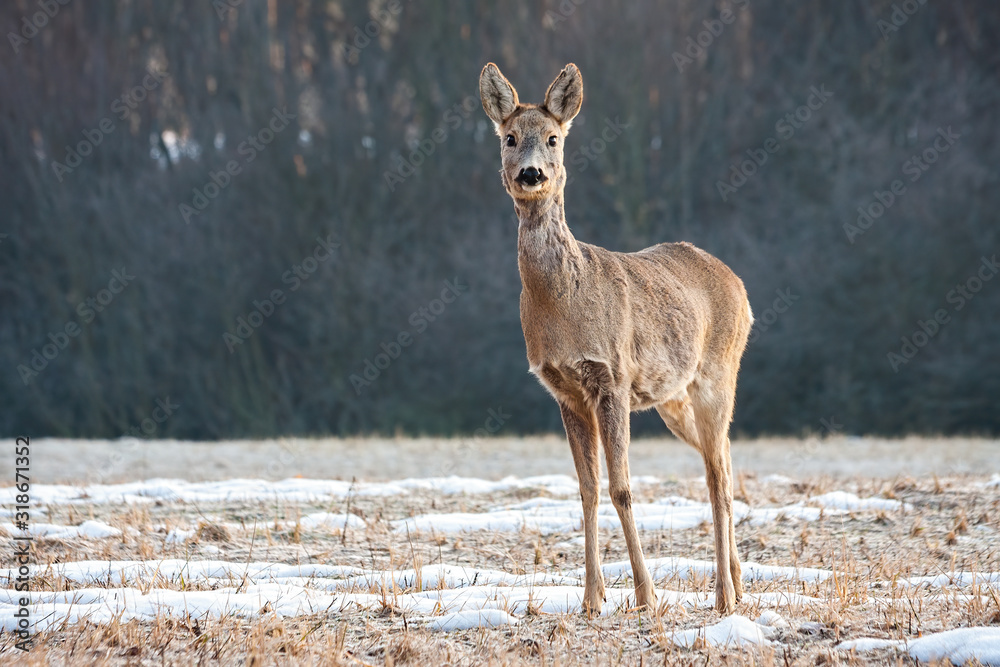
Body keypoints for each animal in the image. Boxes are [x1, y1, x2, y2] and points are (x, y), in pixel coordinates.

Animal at [479, 62, 754, 616]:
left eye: (554, 138)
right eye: (509, 137)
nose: (531, 174)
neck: (563, 304)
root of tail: (740, 287)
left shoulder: (613, 377)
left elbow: (623, 487)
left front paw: (645, 594)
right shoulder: (563, 390)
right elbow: (587, 489)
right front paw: (591, 597)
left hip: (718, 373)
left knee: (716, 477)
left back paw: (724, 596)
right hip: (673, 398)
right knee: (725, 460)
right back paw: (736, 578)